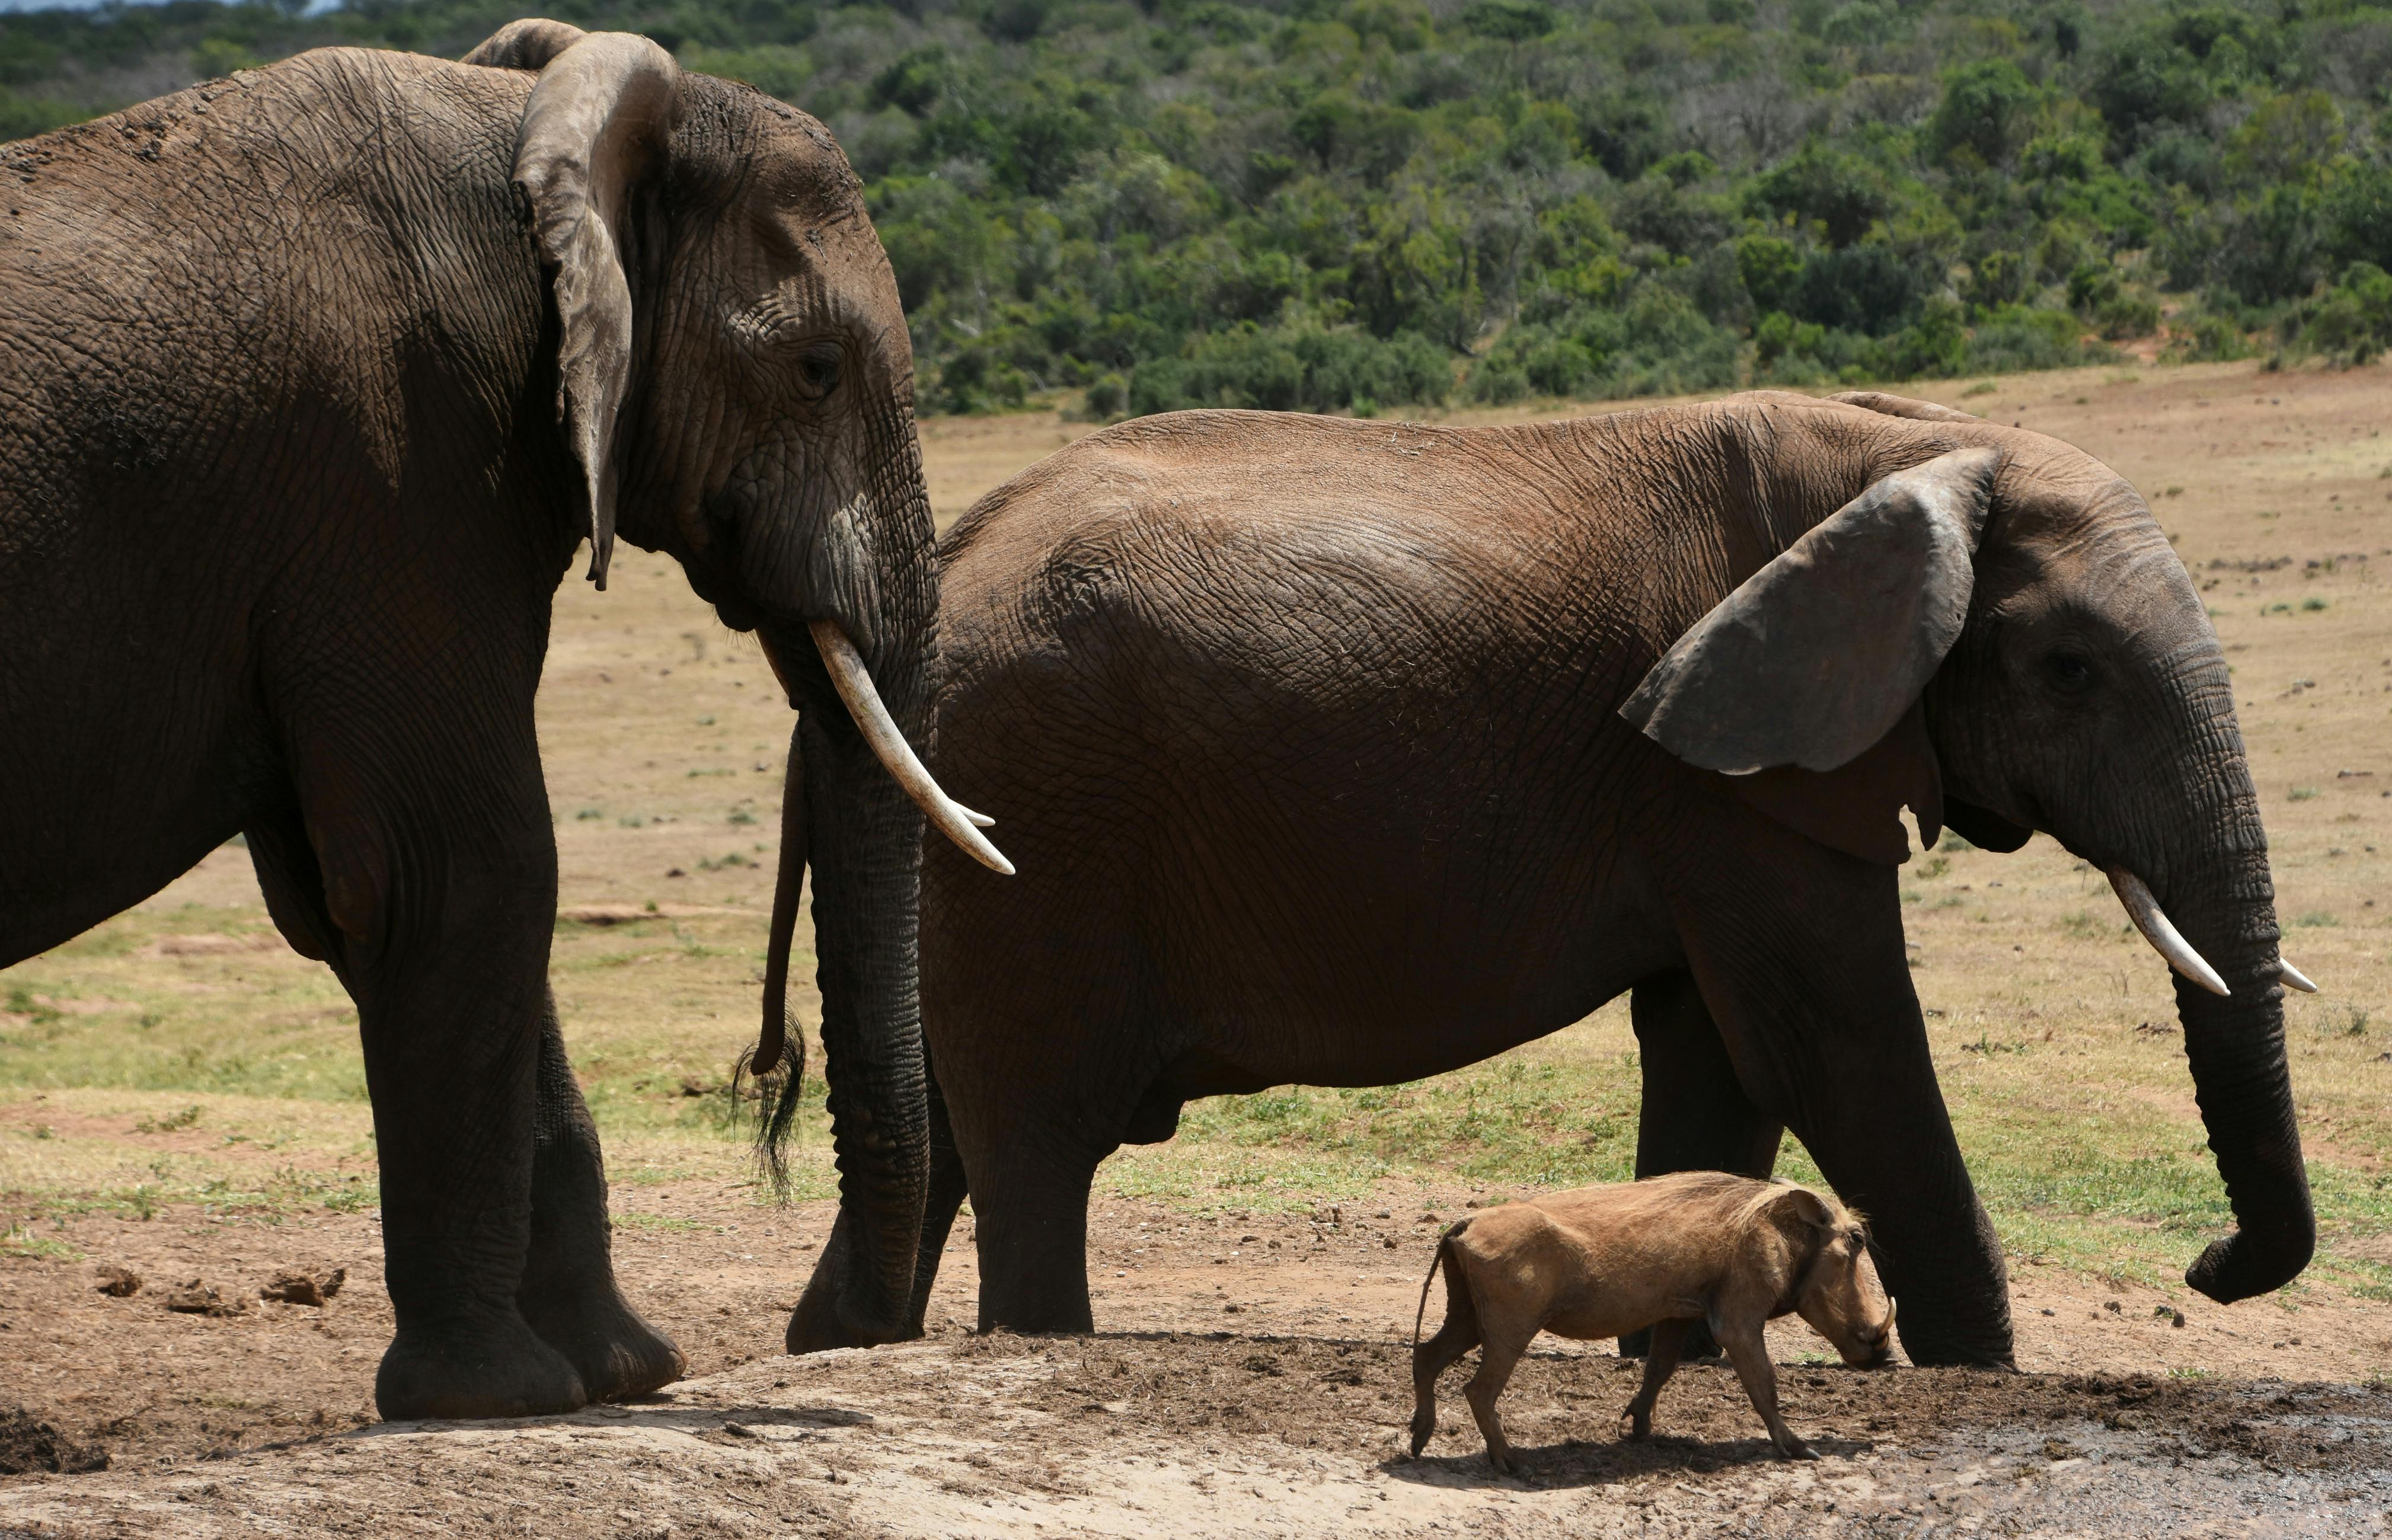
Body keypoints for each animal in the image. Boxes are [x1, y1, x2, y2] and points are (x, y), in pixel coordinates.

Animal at [0, 19, 1004, 1418]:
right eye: (815, 371)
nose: (832, 1333)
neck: (528, 139)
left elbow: (390, 899)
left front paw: (619, 1371)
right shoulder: (393, 470)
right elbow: (465, 868)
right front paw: (496, 1392)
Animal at [785, 390, 2316, 1368]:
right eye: (2068, 672)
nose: (2206, 1266)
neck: (1908, 443)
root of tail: (934, 568)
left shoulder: (1714, 777)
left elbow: (1718, 1059)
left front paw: (1679, 1353)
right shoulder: (1737, 775)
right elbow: (1831, 1040)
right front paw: (1971, 1370)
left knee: (937, 1136)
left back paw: (834, 1344)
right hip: (1037, 820)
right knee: (1034, 1138)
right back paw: (1033, 1342)